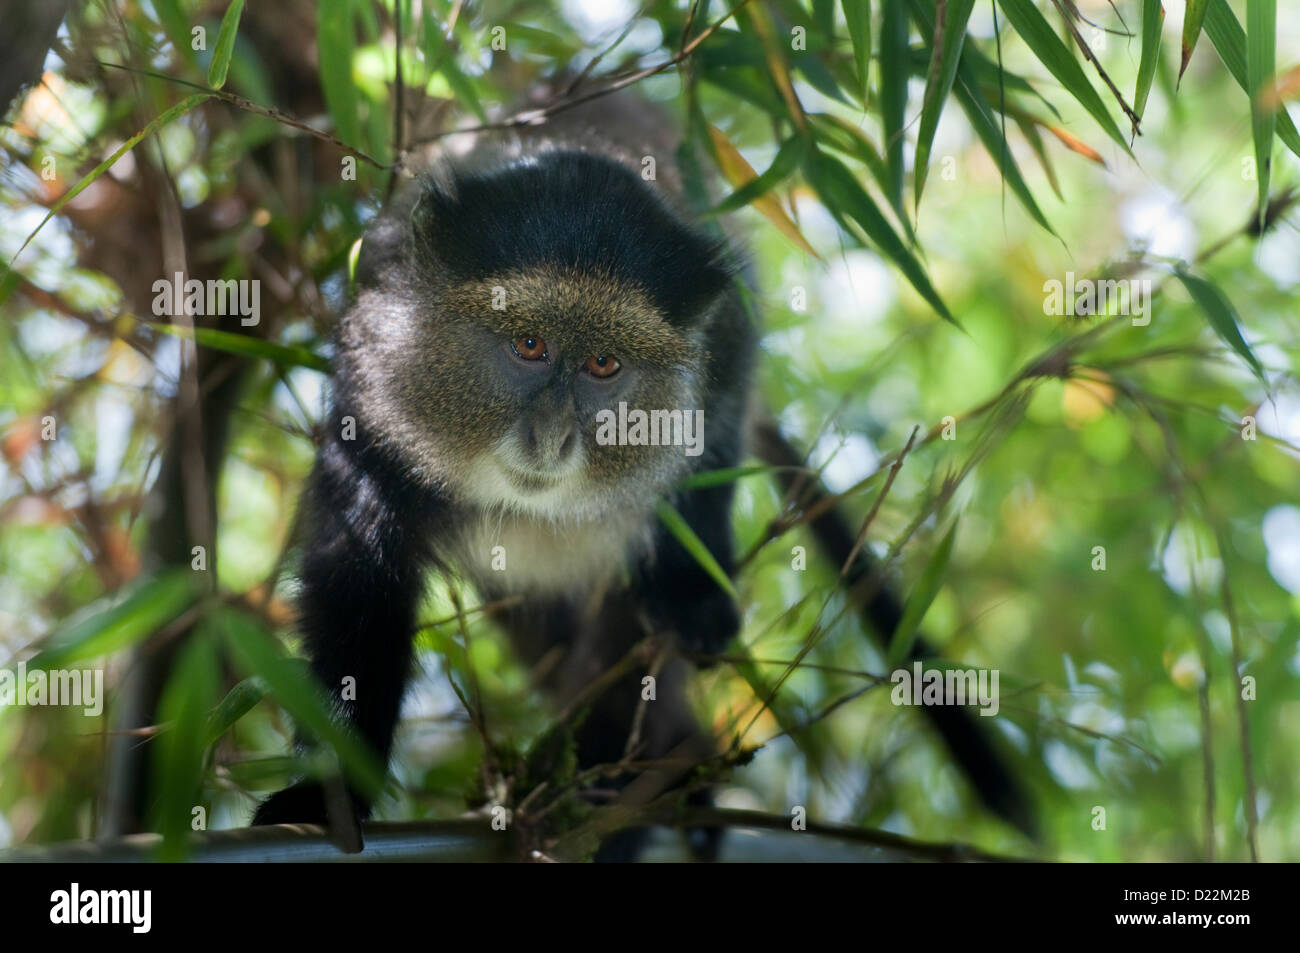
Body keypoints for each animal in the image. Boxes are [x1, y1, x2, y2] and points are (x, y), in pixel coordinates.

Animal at [250, 92, 1033, 859]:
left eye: (604, 364)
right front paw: (324, 796)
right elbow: (358, 590)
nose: (552, 438)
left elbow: (711, 444)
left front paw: (689, 595)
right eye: (528, 344)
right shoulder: (371, 401)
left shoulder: (726, 333)